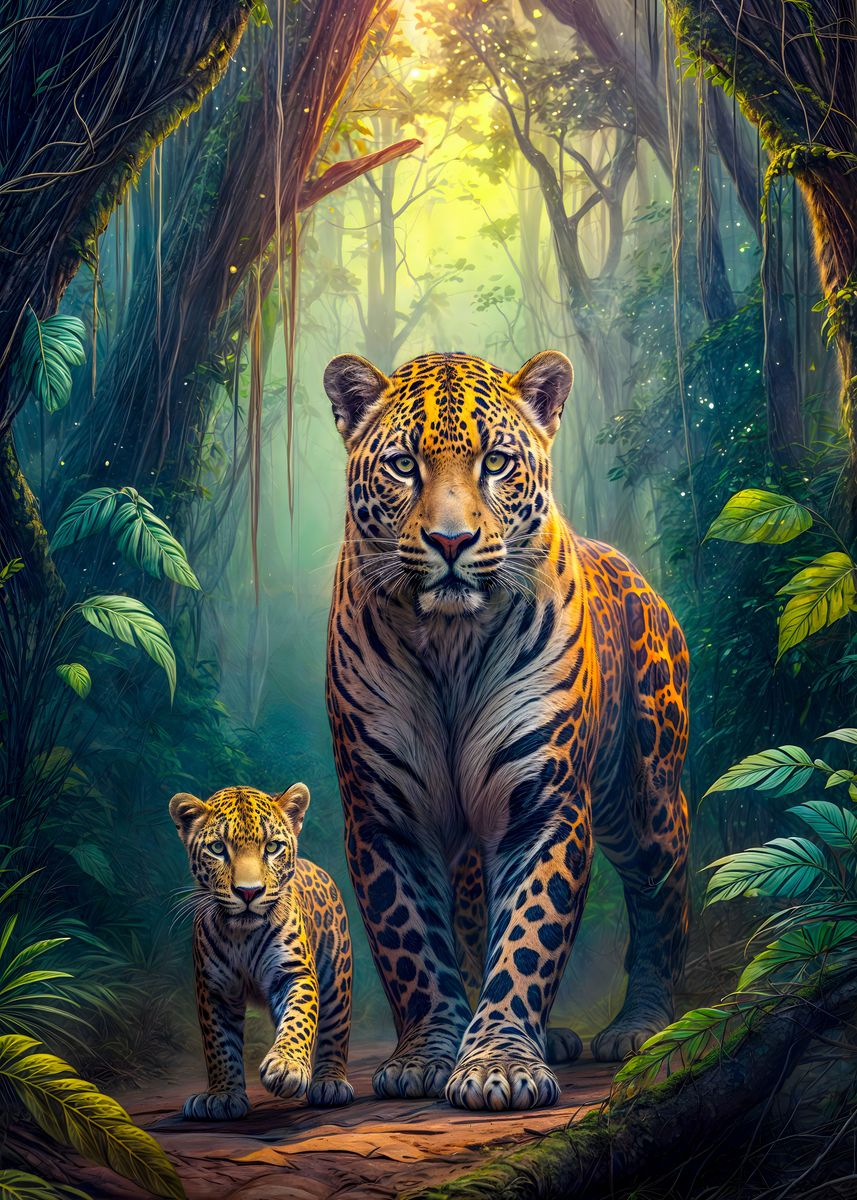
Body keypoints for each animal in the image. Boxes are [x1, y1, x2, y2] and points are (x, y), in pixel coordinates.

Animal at [169, 783, 354, 1119]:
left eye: (272, 847)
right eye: (218, 848)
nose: (248, 892)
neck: (242, 936)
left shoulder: (294, 972)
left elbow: (299, 1019)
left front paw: (287, 1067)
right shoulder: (213, 988)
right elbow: (219, 1043)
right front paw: (223, 1095)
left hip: (337, 974)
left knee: (336, 1027)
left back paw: (331, 1082)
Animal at [323, 348, 690, 1112]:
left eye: (495, 462)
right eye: (403, 465)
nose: (450, 541)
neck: (449, 644)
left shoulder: (543, 805)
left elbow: (529, 932)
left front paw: (498, 1064)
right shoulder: (382, 813)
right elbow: (411, 942)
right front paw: (428, 1054)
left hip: (645, 797)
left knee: (660, 899)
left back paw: (640, 1025)